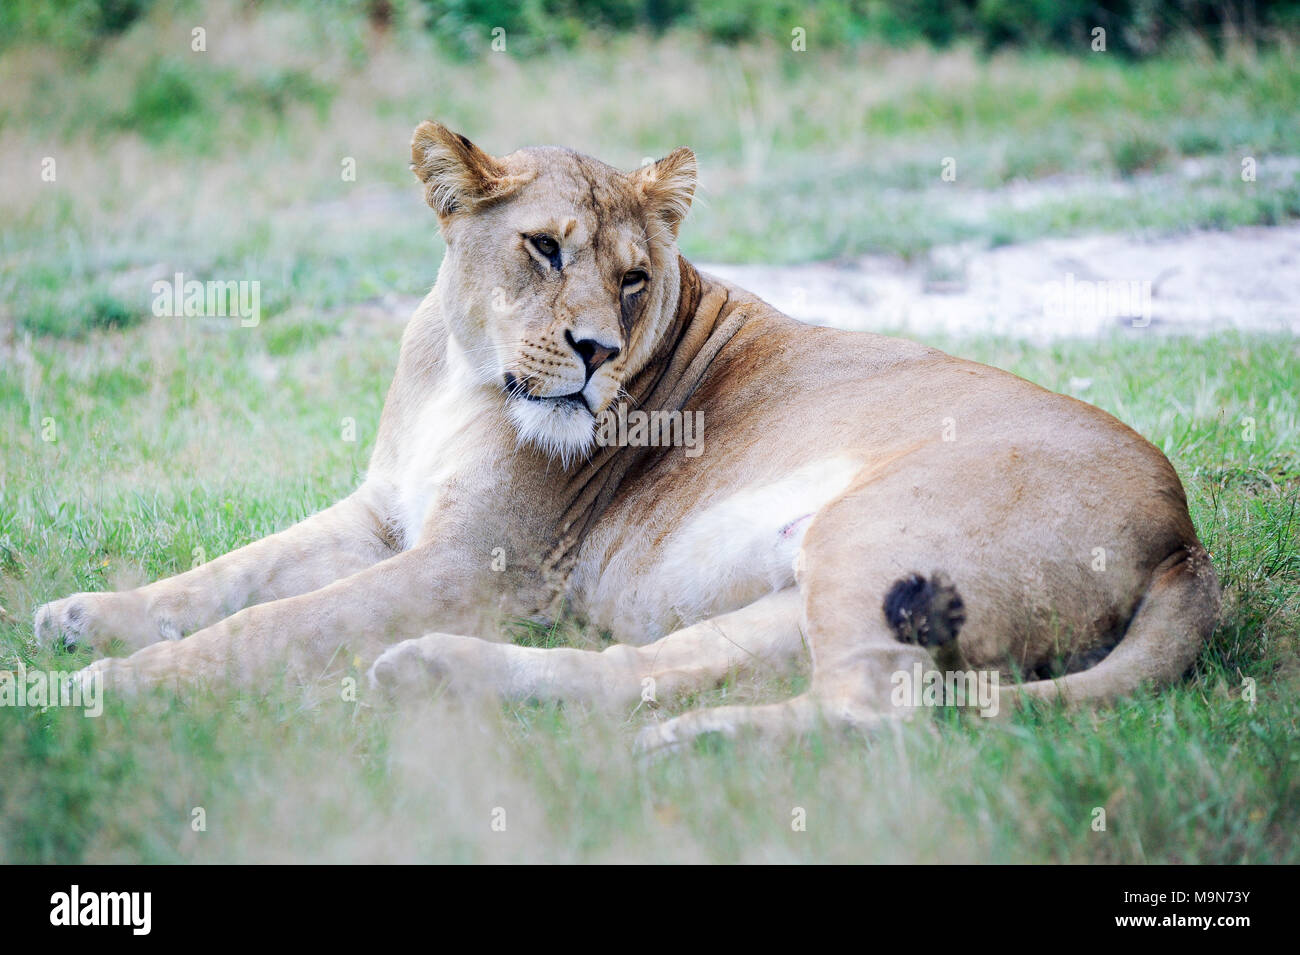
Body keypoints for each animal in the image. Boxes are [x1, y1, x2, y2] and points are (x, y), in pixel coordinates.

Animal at [35, 122, 1221, 750]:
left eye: (636, 277)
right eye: (545, 249)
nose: (599, 349)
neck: (461, 375)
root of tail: (1185, 535)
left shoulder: (476, 561)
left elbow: (268, 623)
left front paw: (105, 691)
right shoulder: (380, 517)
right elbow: (229, 574)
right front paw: (82, 618)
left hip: (875, 534)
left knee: (877, 716)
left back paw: (688, 752)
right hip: (812, 578)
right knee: (662, 664)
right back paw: (441, 674)